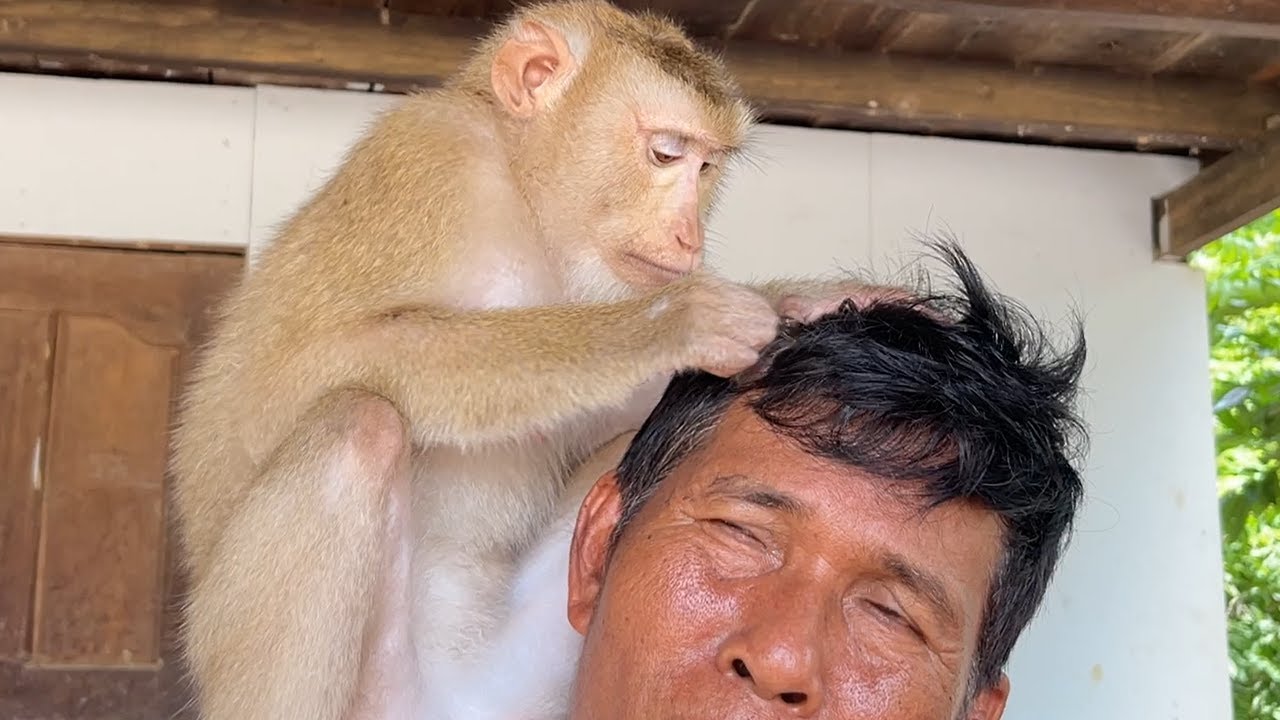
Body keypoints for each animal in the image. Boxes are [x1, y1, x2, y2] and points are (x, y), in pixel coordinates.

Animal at [168, 2, 872, 719]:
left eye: (705, 169)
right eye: (665, 153)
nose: (688, 236)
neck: (523, 196)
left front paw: (804, 302)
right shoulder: (428, 159)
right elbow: (319, 364)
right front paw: (678, 321)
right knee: (355, 427)